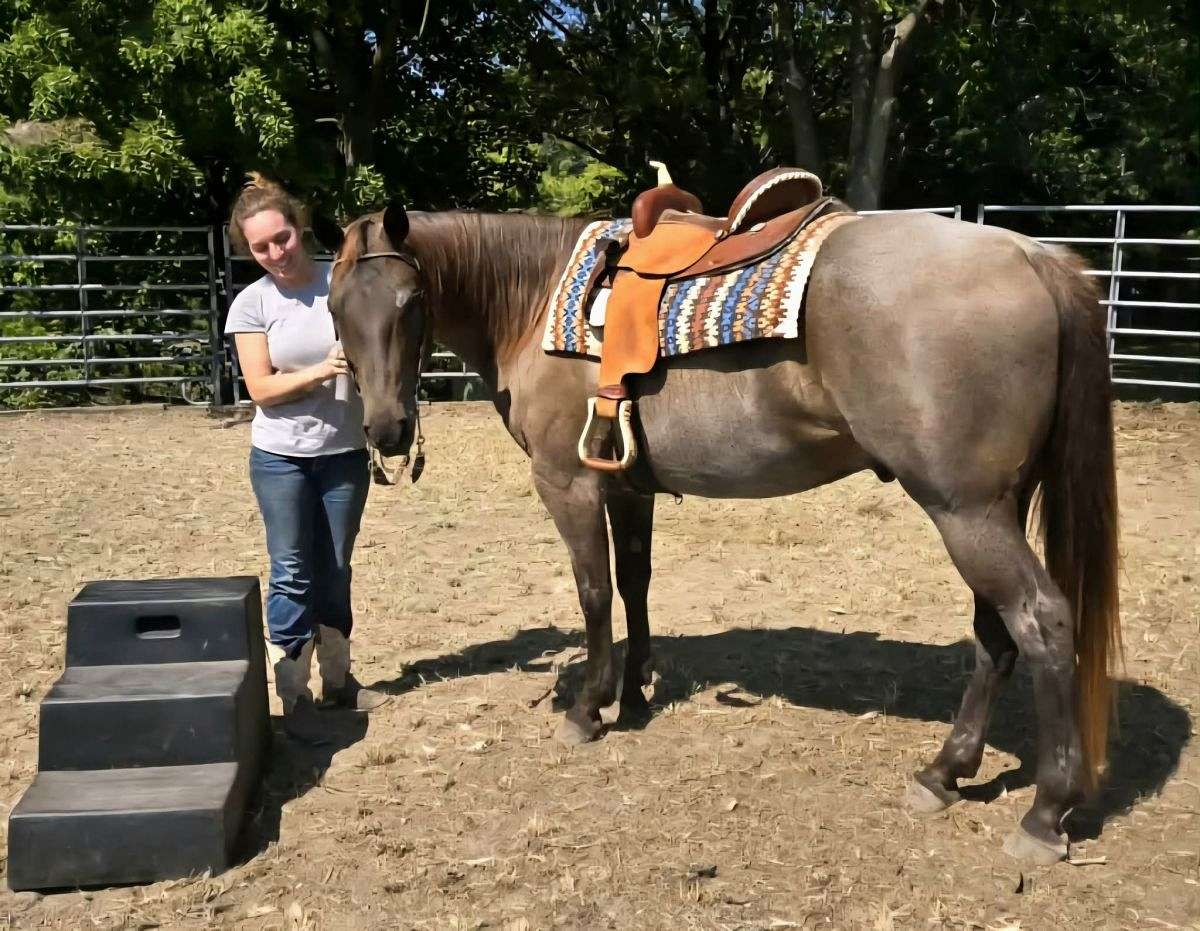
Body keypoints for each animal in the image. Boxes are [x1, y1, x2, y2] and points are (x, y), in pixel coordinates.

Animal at [320, 203, 1120, 864]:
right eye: (333, 306)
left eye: (411, 302)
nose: (386, 430)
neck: (538, 299)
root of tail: (1032, 256)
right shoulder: (626, 485)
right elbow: (635, 585)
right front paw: (635, 691)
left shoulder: (568, 484)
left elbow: (593, 592)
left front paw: (587, 707)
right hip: (990, 509)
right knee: (995, 635)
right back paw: (944, 772)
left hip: (966, 512)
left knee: (1042, 622)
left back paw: (1045, 812)